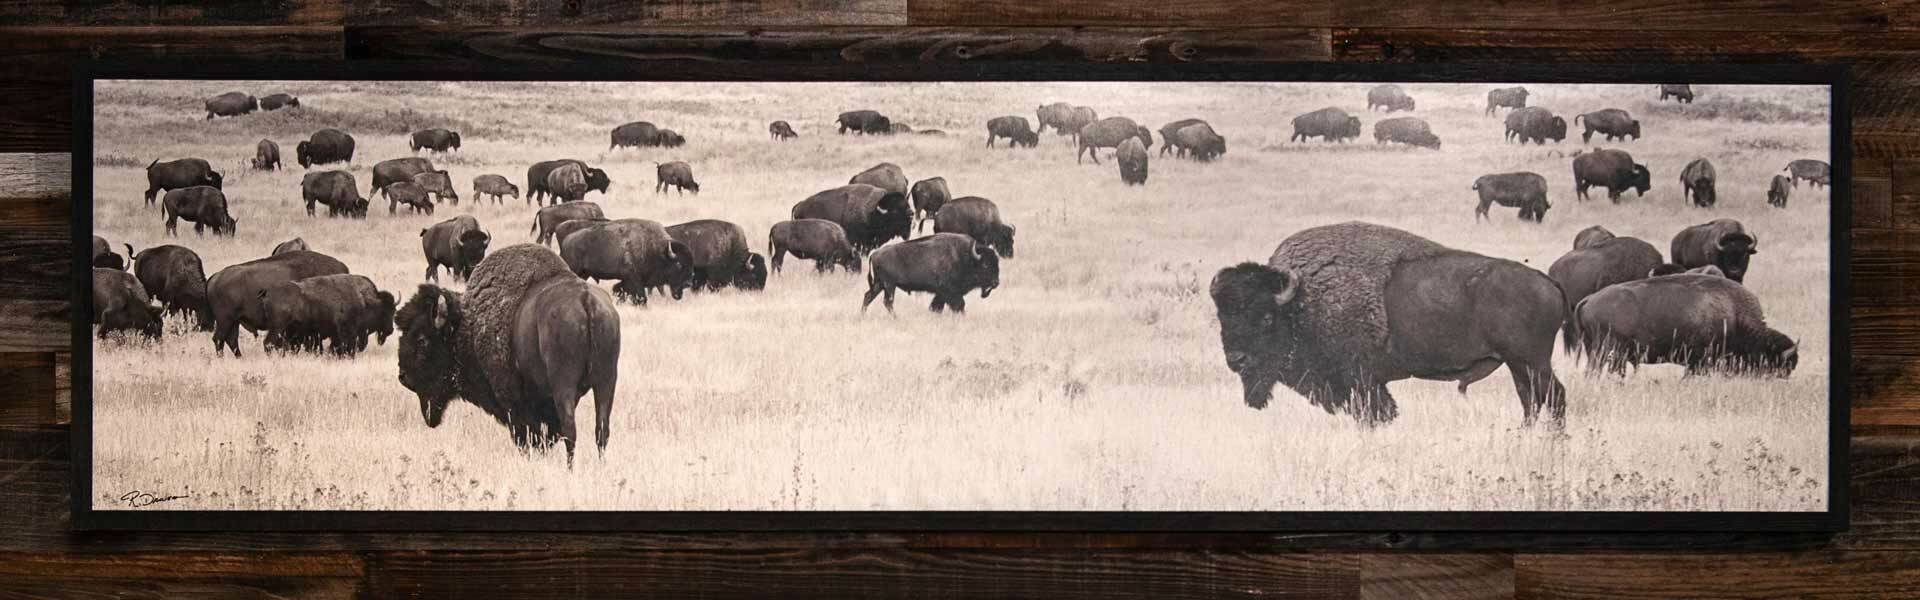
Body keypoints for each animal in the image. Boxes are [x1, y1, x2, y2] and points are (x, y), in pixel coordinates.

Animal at [395, 244, 620, 463]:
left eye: (422, 339)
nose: (403, 376)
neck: (467, 326)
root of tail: (586, 300)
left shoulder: (513, 401)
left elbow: (528, 435)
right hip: (606, 381)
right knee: (601, 430)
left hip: (564, 385)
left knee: (570, 431)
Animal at [863, 233, 1000, 314]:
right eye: (985, 264)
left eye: (997, 263)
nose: (996, 283)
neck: (965, 258)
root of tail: (874, 254)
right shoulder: (949, 292)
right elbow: (959, 305)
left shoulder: (941, 294)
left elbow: (937, 306)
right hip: (889, 285)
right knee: (888, 302)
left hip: (880, 284)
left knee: (868, 296)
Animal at [1209, 221, 1566, 426]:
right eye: (1222, 317)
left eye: (1266, 317)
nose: (1236, 360)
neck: (1302, 302)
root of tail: (1547, 282)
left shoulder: (1362, 382)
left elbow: (1378, 413)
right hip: (1517, 364)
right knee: (1530, 400)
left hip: (1530, 361)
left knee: (1554, 396)